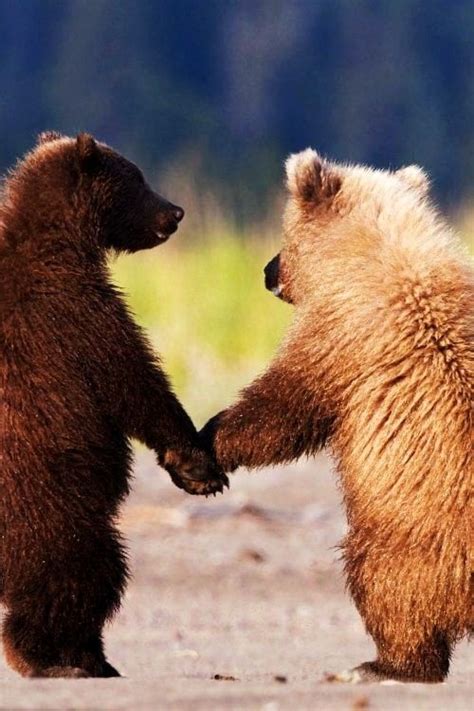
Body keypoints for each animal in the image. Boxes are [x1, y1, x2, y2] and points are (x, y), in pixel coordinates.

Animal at [0, 132, 228, 678]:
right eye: (138, 178)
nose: (176, 211)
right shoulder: (72, 310)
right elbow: (132, 380)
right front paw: (197, 466)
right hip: (53, 511)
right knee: (84, 574)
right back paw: (63, 657)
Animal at [201, 149, 473, 683]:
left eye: (284, 234)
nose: (267, 270)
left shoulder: (343, 338)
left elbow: (283, 408)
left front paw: (209, 440)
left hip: (416, 537)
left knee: (383, 583)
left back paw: (386, 663)